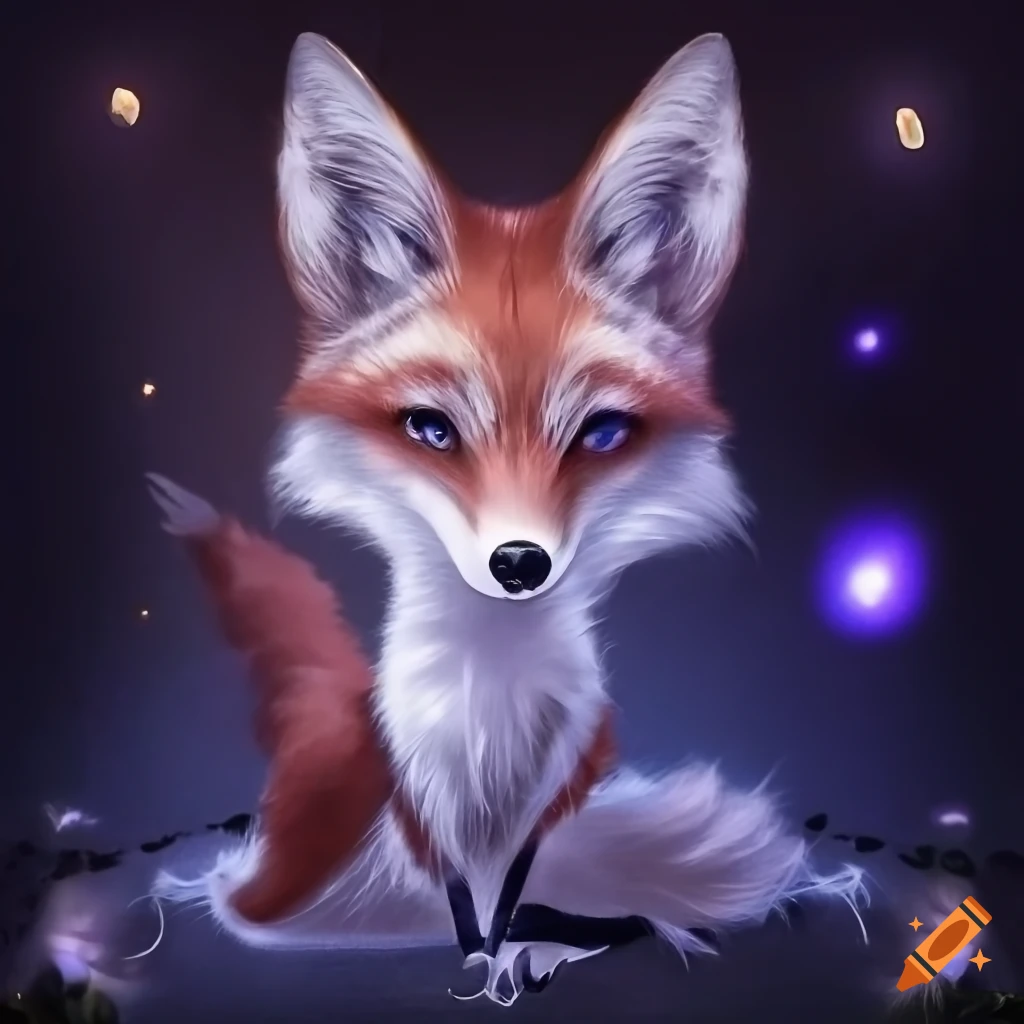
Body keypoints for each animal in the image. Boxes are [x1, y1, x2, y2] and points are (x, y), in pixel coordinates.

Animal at [146, 31, 867, 1006]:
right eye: (431, 428)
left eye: (600, 432)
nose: (519, 563)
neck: (484, 791)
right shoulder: (292, 889)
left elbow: (613, 912)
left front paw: (542, 948)